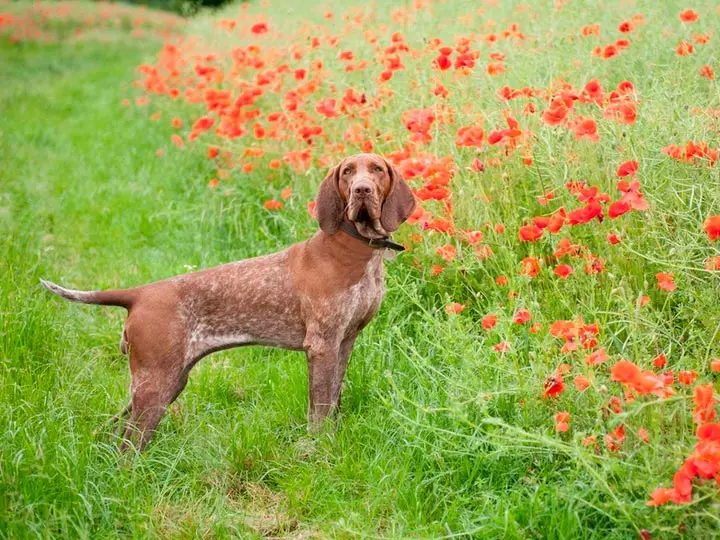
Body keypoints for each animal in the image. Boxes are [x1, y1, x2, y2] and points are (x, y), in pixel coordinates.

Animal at [42, 153, 416, 452]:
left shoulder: (345, 341)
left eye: (377, 169)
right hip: (156, 383)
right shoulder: (322, 345)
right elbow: (320, 410)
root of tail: (138, 294)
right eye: (348, 172)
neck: (359, 250)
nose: (362, 190)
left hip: (166, 381)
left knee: (118, 431)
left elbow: (334, 401)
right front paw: (317, 450)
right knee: (128, 445)